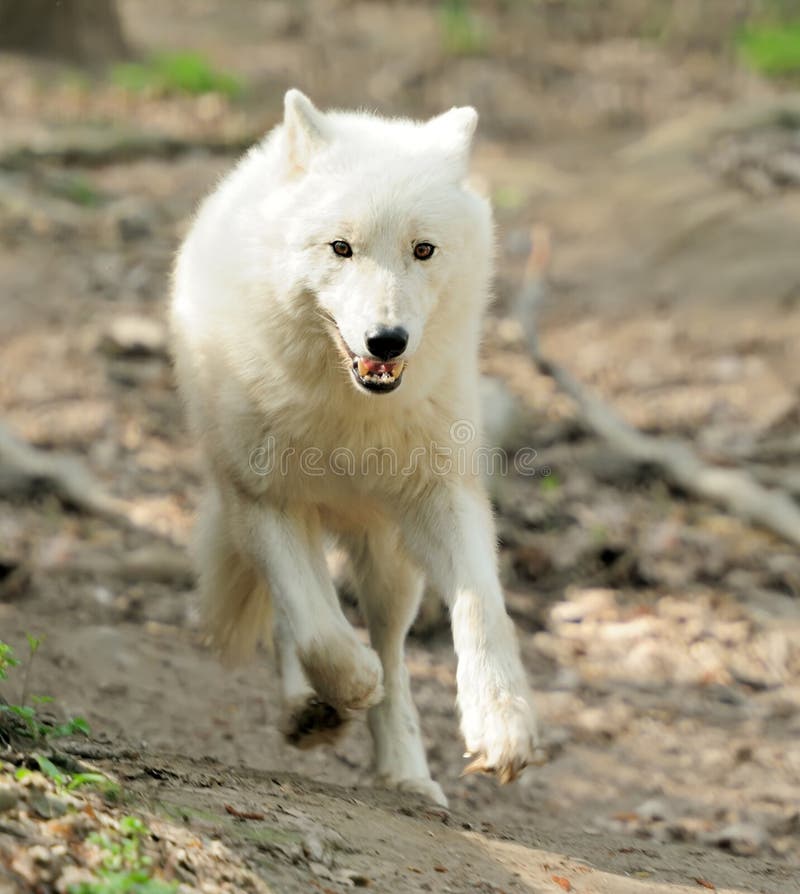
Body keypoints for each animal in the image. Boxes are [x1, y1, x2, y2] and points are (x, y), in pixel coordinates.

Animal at [169, 89, 538, 807]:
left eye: (423, 249)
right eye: (341, 247)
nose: (386, 341)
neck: (348, 413)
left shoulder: (442, 492)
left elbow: (482, 609)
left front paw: (502, 725)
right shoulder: (262, 499)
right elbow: (316, 628)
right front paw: (347, 683)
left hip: (391, 560)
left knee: (394, 647)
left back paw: (405, 772)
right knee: (303, 614)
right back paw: (314, 707)